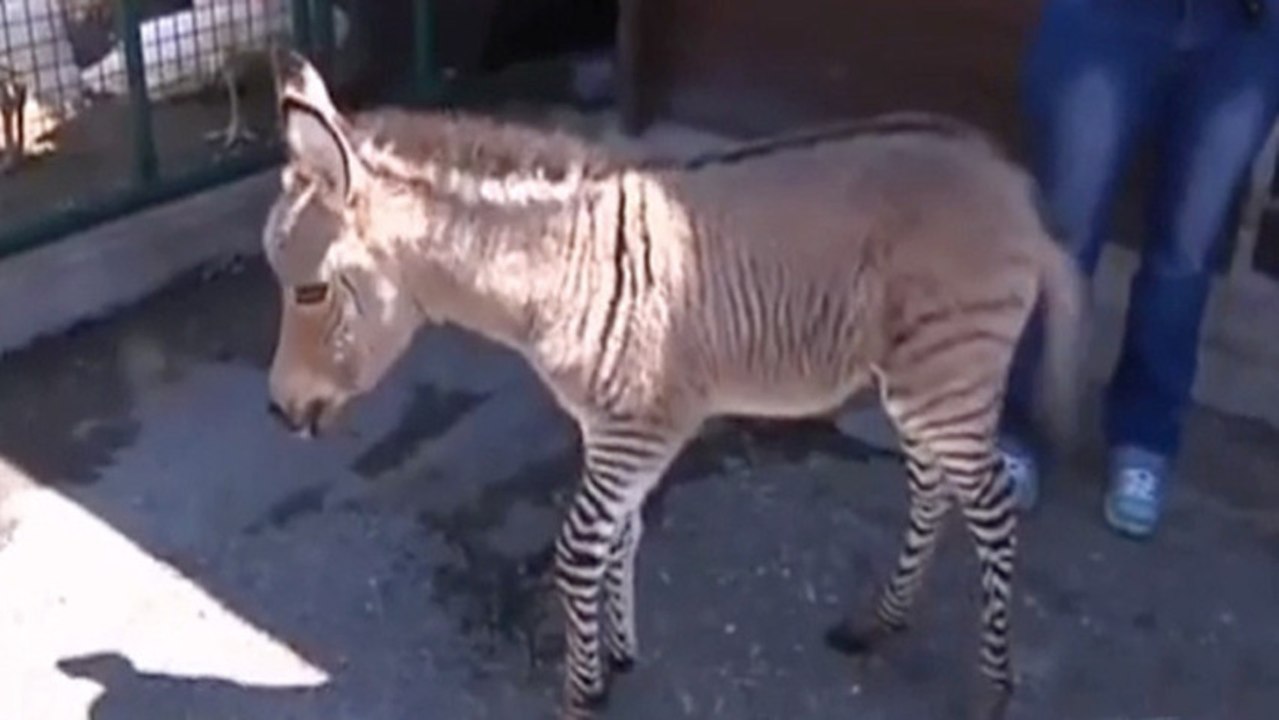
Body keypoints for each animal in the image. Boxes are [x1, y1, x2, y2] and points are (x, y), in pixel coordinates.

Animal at [261, 49, 1086, 720]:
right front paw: (616, 656)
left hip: (947, 373)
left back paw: (994, 687)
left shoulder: (638, 429)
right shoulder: (613, 430)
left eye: (309, 291)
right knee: (931, 486)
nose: (276, 411)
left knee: (990, 505)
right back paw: (879, 621)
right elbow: (618, 537)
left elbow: (579, 552)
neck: (560, 274)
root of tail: (1012, 185)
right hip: (917, 377)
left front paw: (581, 695)